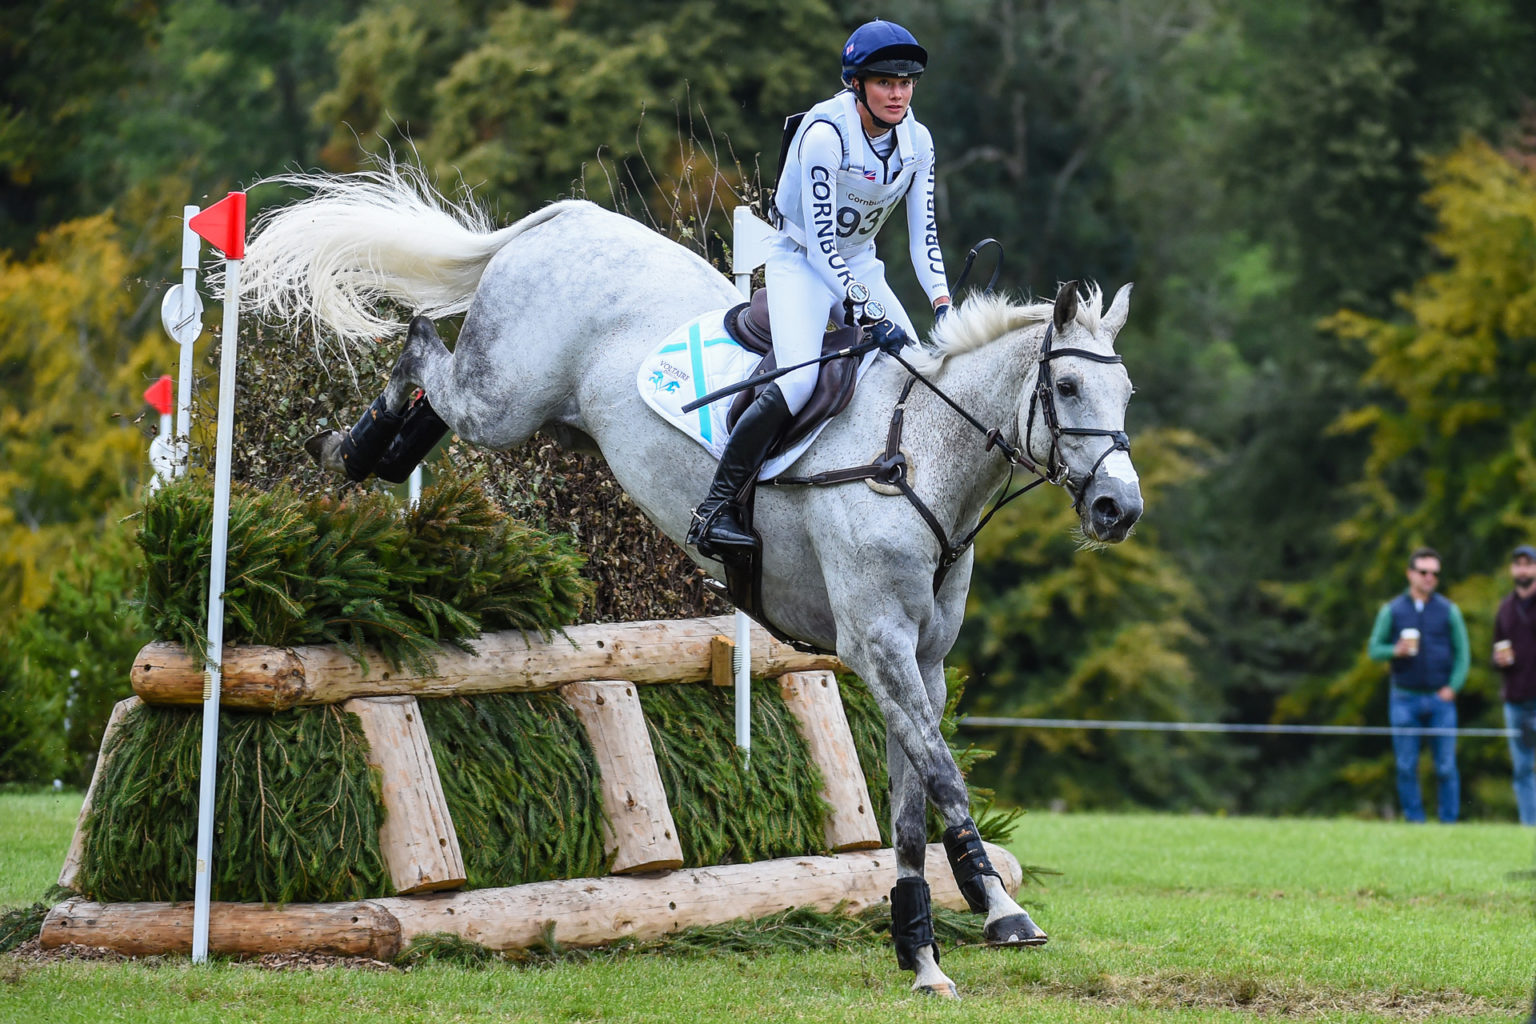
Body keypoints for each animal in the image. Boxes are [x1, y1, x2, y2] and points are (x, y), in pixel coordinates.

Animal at [240, 166, 1143, 997]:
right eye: (1067, 386)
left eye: (1127, 390)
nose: (1119, 508)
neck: (915, 453)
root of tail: (567, 216)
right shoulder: (877, 645)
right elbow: (945, 774)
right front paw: (1002, 912)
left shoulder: (921, 661)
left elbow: (912, 806)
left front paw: (922, 959)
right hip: (503, 399)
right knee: (423, 344)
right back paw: (351, 448)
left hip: (524, 406)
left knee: (432, 382)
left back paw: (375, 455)